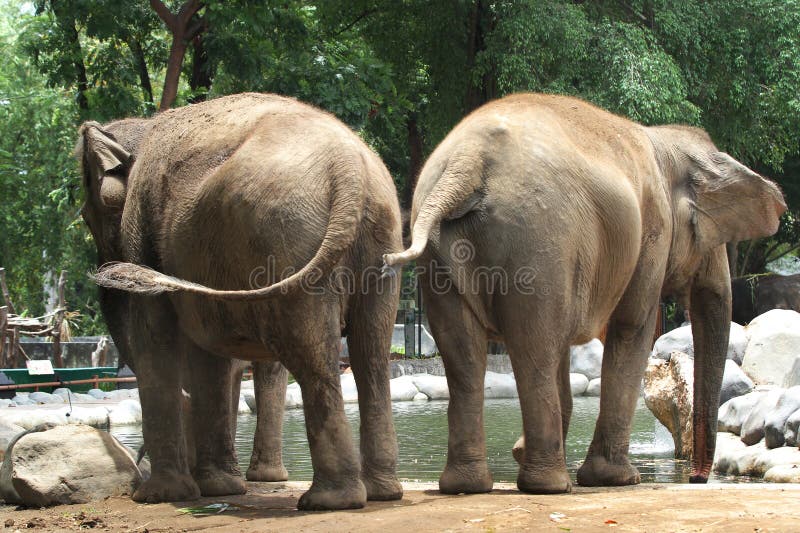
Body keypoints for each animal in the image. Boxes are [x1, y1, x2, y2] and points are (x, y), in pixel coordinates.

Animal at [77, 93, 403, 510]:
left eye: (87, 218)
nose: (108, 273)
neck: (142, 126)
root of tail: (349, 170)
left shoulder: (143, 230)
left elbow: (157, 338)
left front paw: (158, 496)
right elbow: (208, 353)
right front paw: (220, 488)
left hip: (284, 240)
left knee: (312, 355)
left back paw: (330, 501)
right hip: (379, 241)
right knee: (371, 352)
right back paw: (380, 492)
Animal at [383, 93, 785, 494]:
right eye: (710, 238)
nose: (696, 478)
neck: (662, 143)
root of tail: (466, 163)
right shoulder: (651, 235)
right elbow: (631, 327)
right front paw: (618, 479)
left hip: (444, 255)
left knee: (466, 353)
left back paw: (467, 484)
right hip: (538, 243)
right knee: (534, 349)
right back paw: (549, 484)